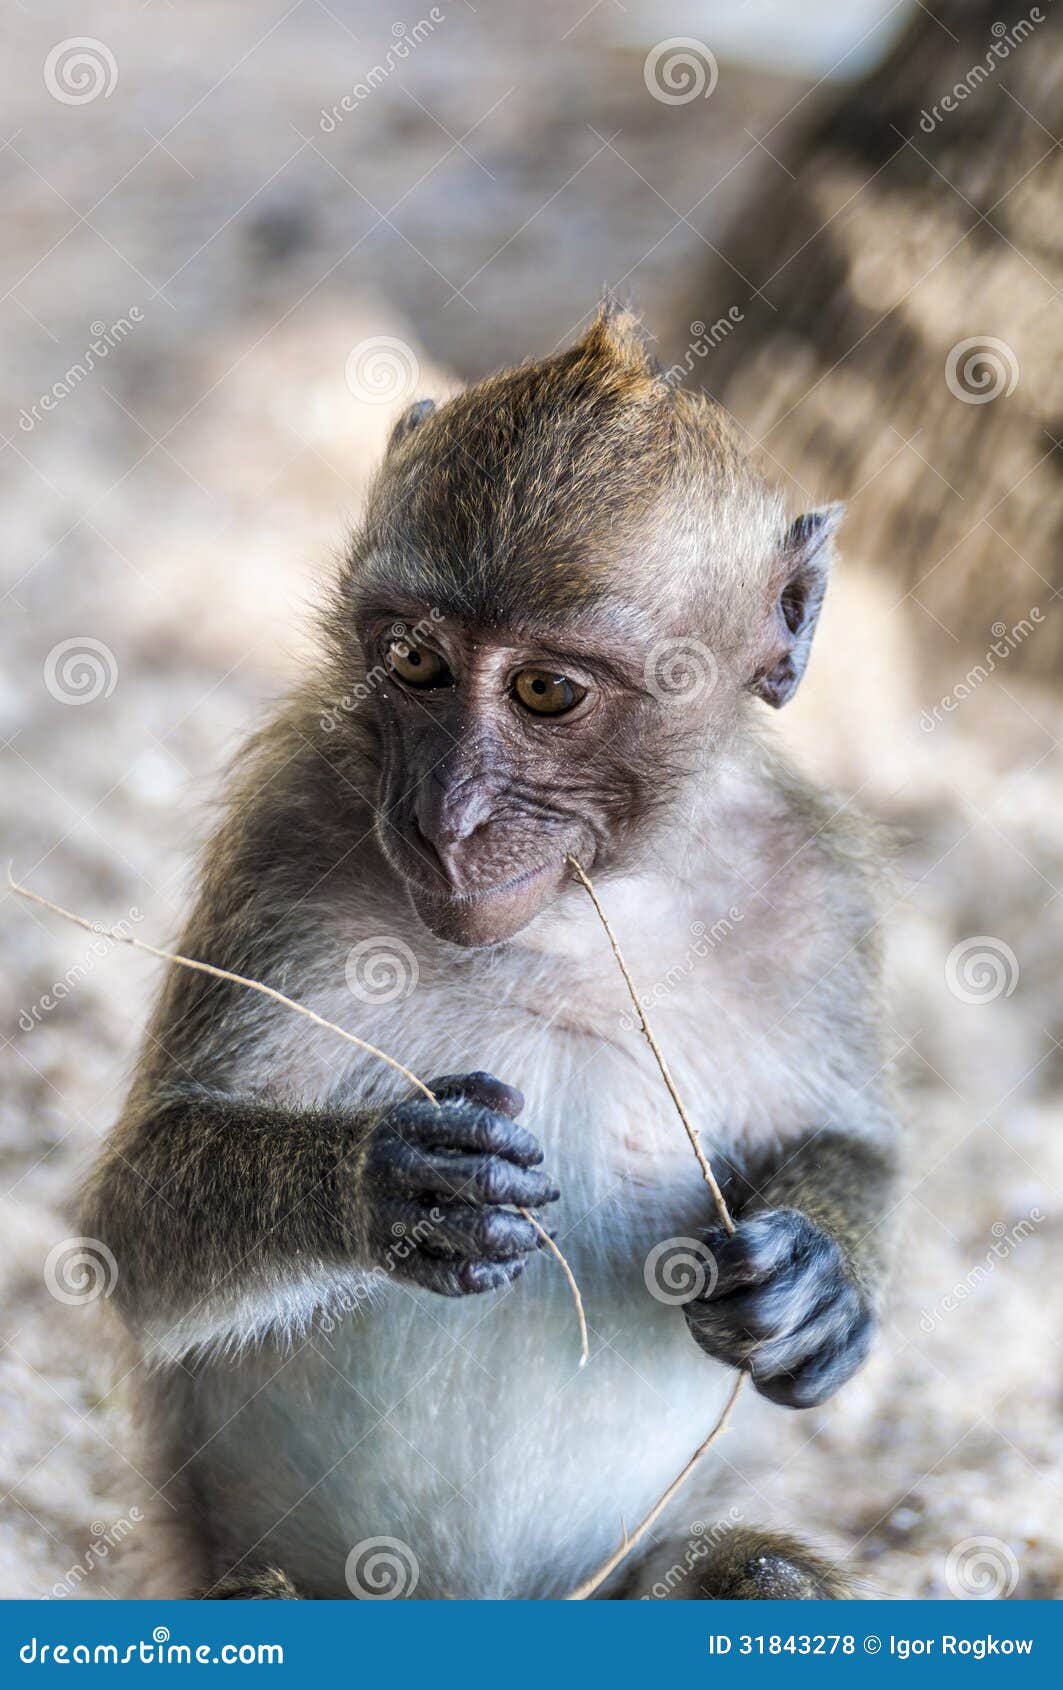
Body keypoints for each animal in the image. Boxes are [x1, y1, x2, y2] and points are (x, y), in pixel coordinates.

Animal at [81, 301, 899, 1601]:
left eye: (547, 691)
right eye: (414, 660)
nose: (443, 816)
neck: (576, 915)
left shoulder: (819, 889)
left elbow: (853, 1145)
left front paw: (820, 1282)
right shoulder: (289, 828)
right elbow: (132, 1229)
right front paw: (389, 1185)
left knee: (761, 1581)